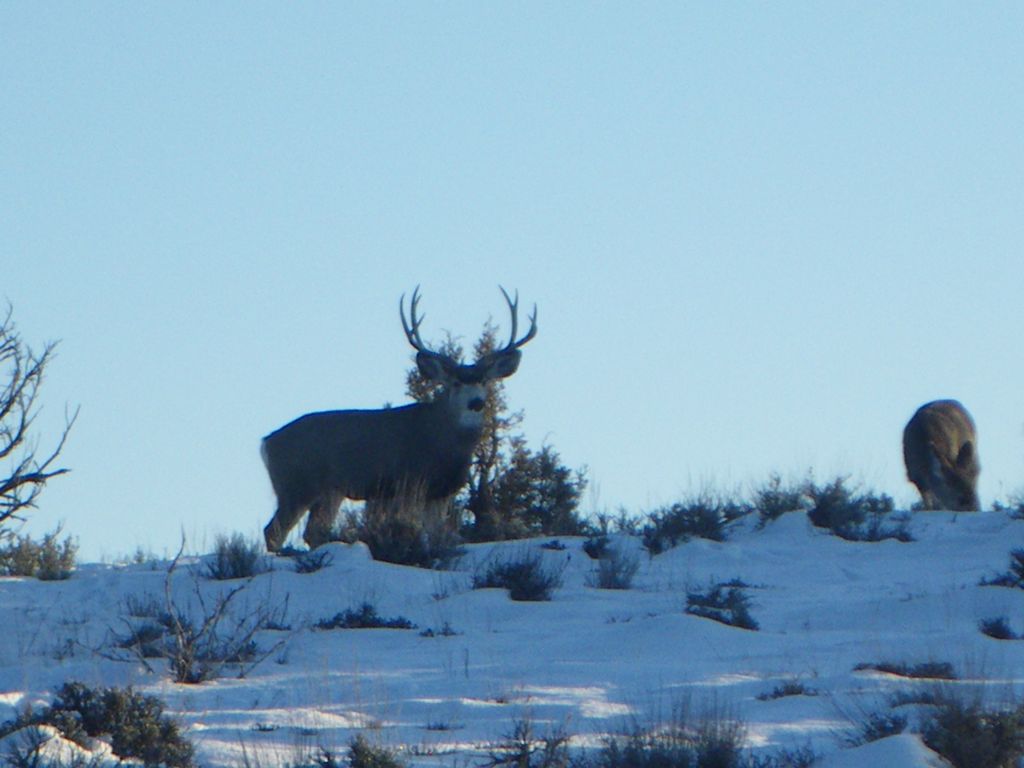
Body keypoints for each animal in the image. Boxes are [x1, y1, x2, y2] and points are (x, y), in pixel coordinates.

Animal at [261, 287, 537, 552]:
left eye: (484, 381)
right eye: (456, 382)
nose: (476, 402)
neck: (445, 442)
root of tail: (266, 442)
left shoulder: (440, 493)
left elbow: (438, 534)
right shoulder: (404, 485)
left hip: (329, 491)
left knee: (312, 532)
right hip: (296, 484)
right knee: (274, 531)